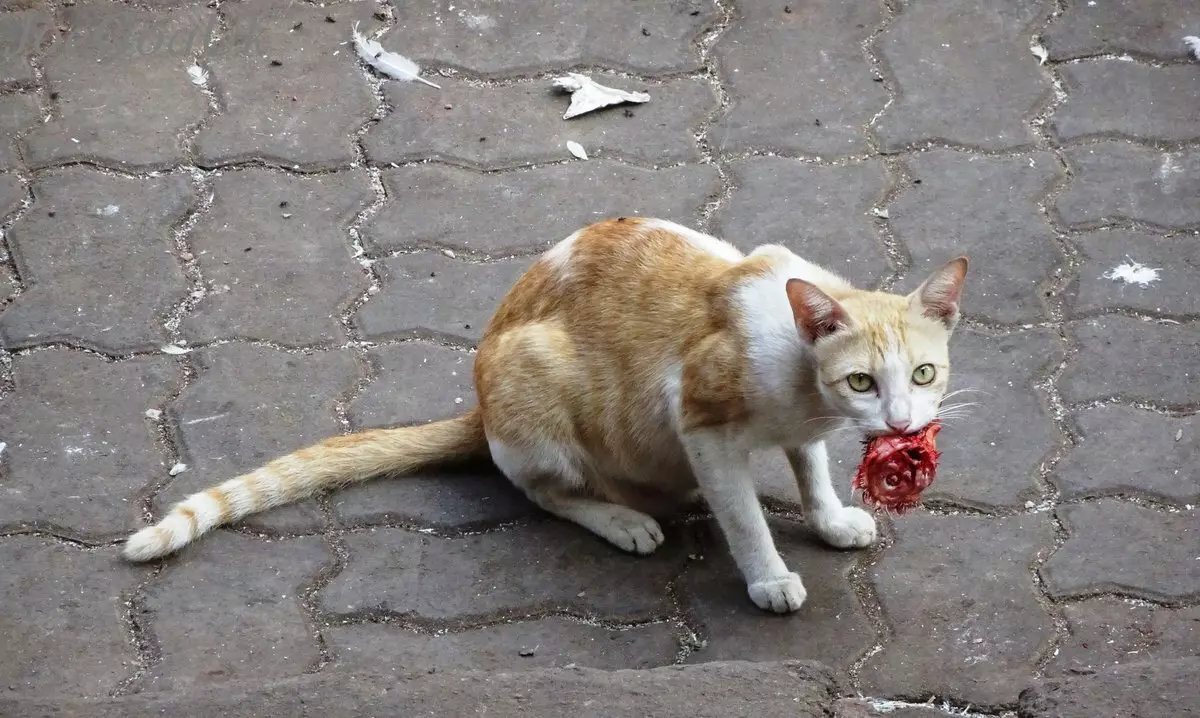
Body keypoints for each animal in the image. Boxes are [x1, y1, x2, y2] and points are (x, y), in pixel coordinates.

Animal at [124, 216, 964, 614]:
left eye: (923, 375)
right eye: (861, 380)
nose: (898, 422)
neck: (802, 391)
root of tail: (481, 398)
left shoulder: (801, 434)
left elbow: (811, 469)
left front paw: (828, 518)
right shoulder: (701, 423)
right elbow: (747, 519)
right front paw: (768, 577)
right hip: (537, 382)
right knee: (539, 489)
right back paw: (622, 518)